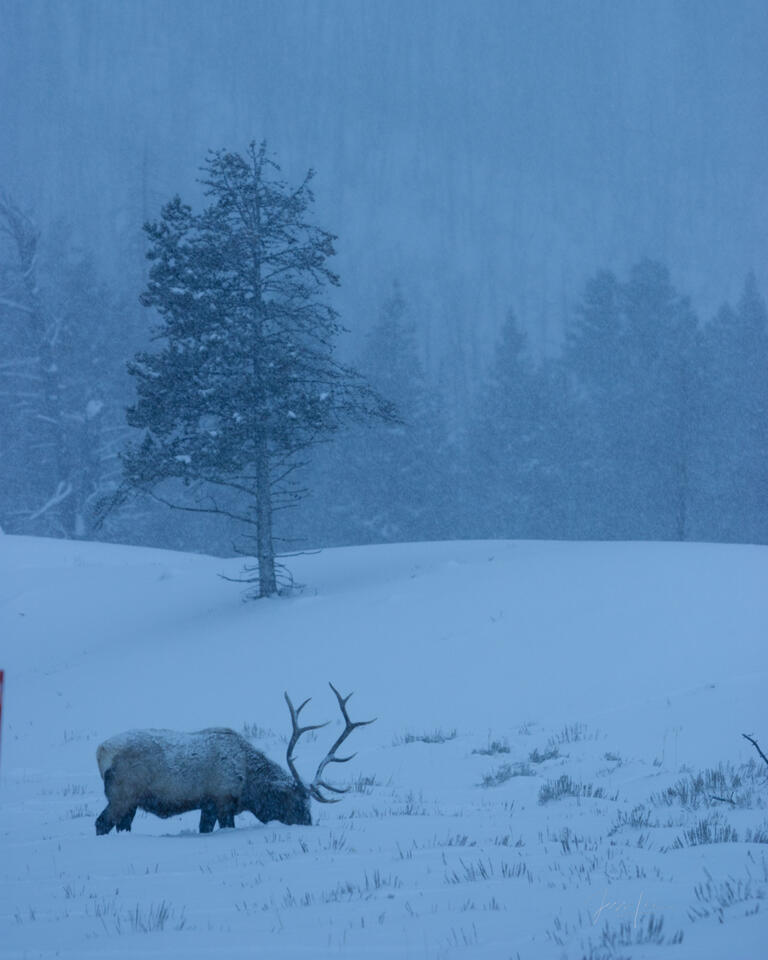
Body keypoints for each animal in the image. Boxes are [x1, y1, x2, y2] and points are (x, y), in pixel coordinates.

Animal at [95, 682, 374, 835]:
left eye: (310, 806)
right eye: (296, 804)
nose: (308, 825)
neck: (248, 785)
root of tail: (101, 752)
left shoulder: (208, 805)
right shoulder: (222, 800)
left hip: (131, 803)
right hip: (122, 795)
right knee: (101, 823)